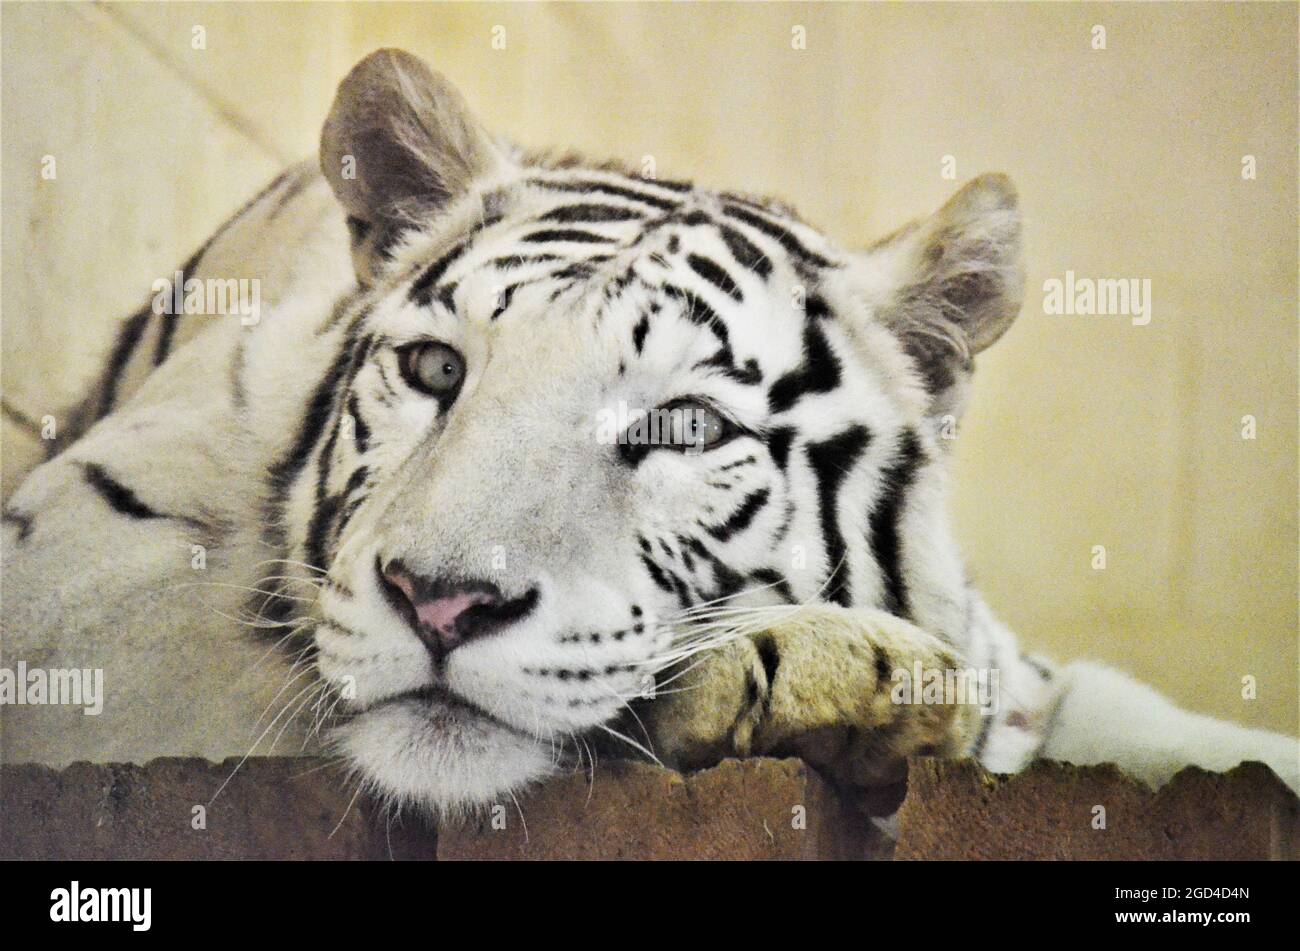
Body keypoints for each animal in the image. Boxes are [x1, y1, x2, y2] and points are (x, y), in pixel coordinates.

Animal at [3, 49, 1295, 821]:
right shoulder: (80, 568)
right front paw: (827, 666)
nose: (440, 603)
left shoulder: (1027, 678)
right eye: (436, 369)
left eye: (682, 425)